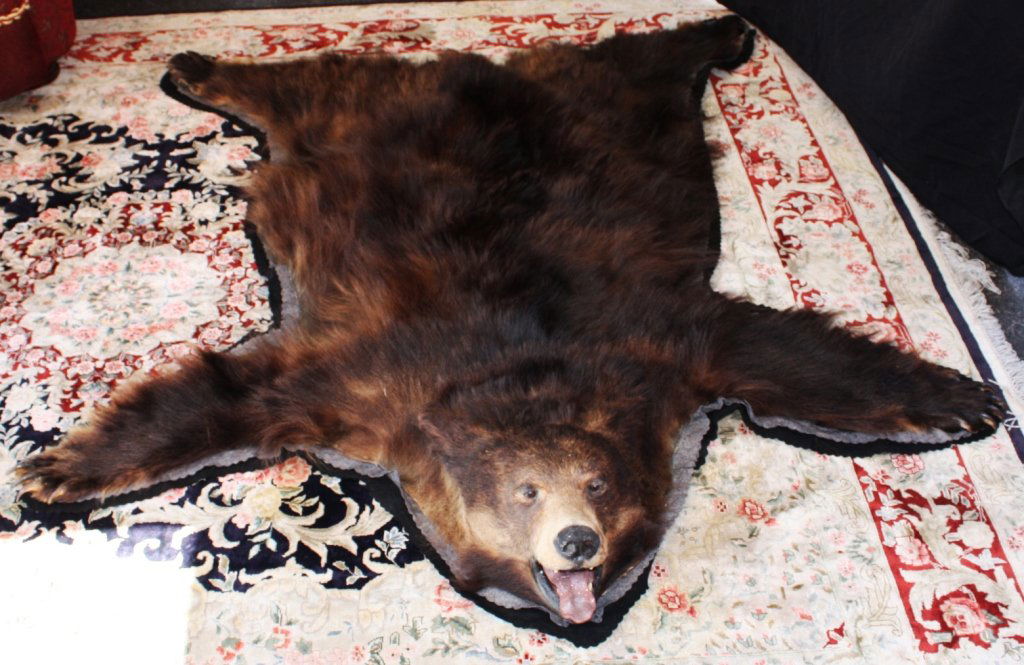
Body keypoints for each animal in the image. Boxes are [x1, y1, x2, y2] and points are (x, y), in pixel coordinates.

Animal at [18, 16, 1007, 626]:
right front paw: (59, 467)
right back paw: (200, 69)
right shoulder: (372, 379)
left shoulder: (665, 348)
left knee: (638, 63)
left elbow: (784, 352)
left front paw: (964, 394)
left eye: (599, 485)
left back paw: (722, 31)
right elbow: (232, 393)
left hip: (627, 117)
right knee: (318, 81)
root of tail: (482, 67)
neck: (529, 384)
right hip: (361, 119)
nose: (577, 539)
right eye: (528, 491)